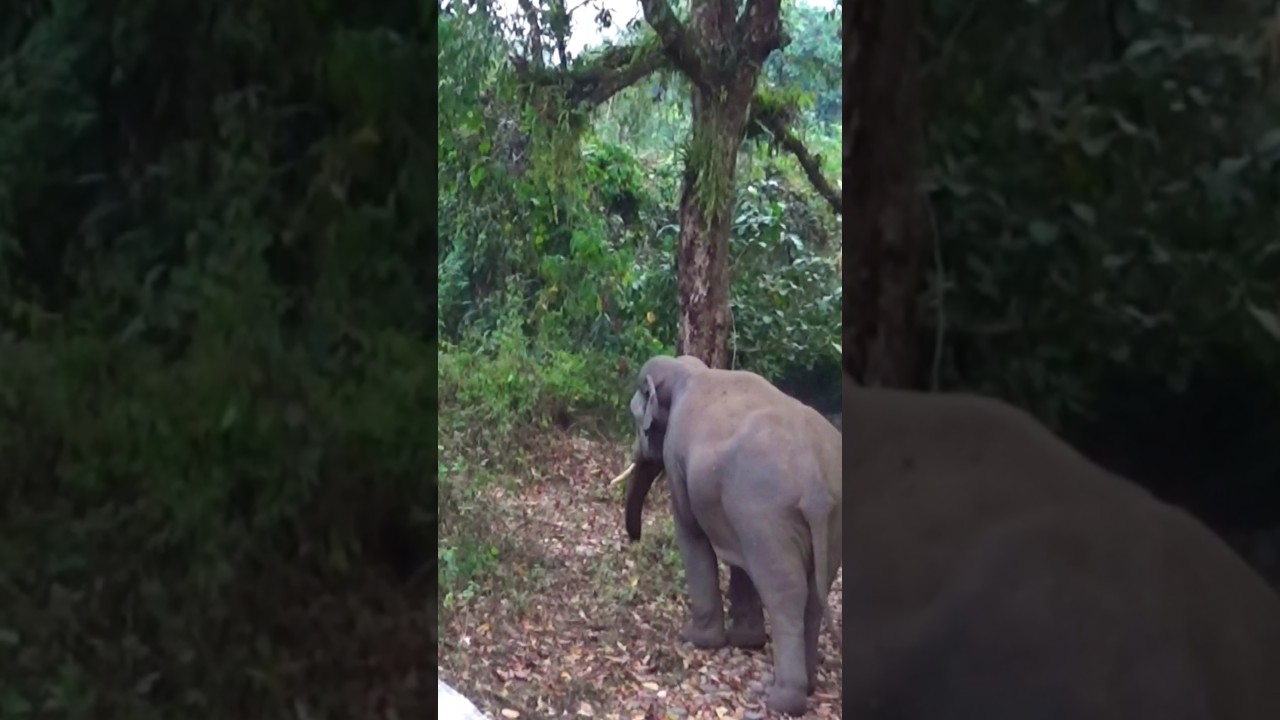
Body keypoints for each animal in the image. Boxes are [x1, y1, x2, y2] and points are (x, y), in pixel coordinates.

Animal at [619, 355, 842, 716]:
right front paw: (746, 642)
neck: (689, 370)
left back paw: (782, 700)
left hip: (768, 513)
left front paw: (695, 638)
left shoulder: (677, 455)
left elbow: (691, 533)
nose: (634, 538)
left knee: (785, 592)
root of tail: (815, 488)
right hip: (826, 520)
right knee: (813, 595)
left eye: (638, 419)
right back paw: (807, 686)